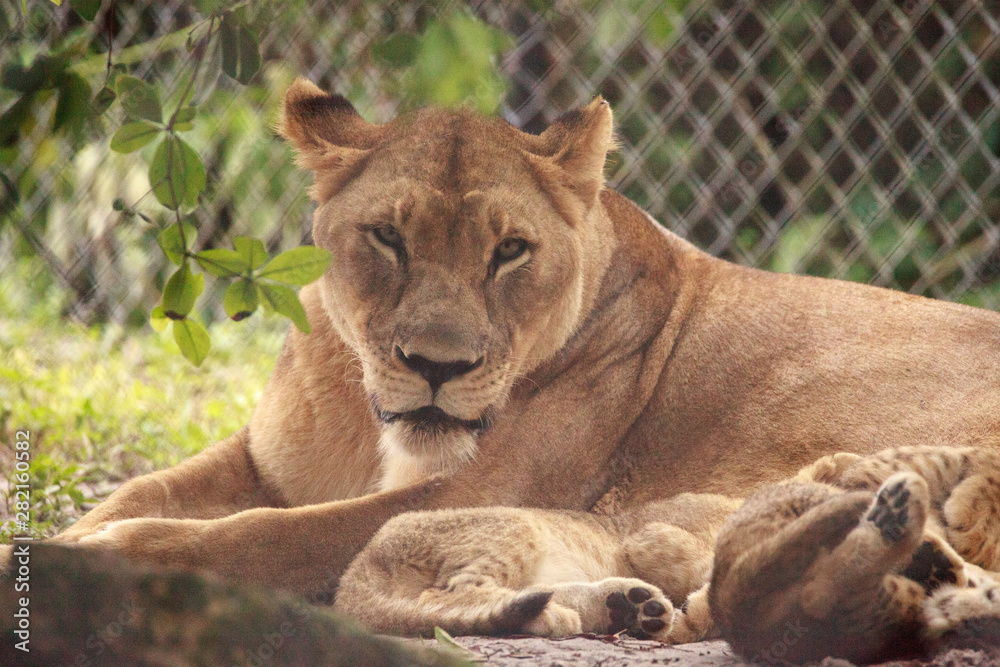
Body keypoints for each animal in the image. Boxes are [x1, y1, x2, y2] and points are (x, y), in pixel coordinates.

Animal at [19, 79, 998, 605]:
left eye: (510, 250)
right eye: (389, 236)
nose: (437, 366)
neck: (371, 423)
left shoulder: (477, 493)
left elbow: (265, 535)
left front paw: (104, 557)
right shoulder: (263, 460)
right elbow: (145, 489)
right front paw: (62, 542)